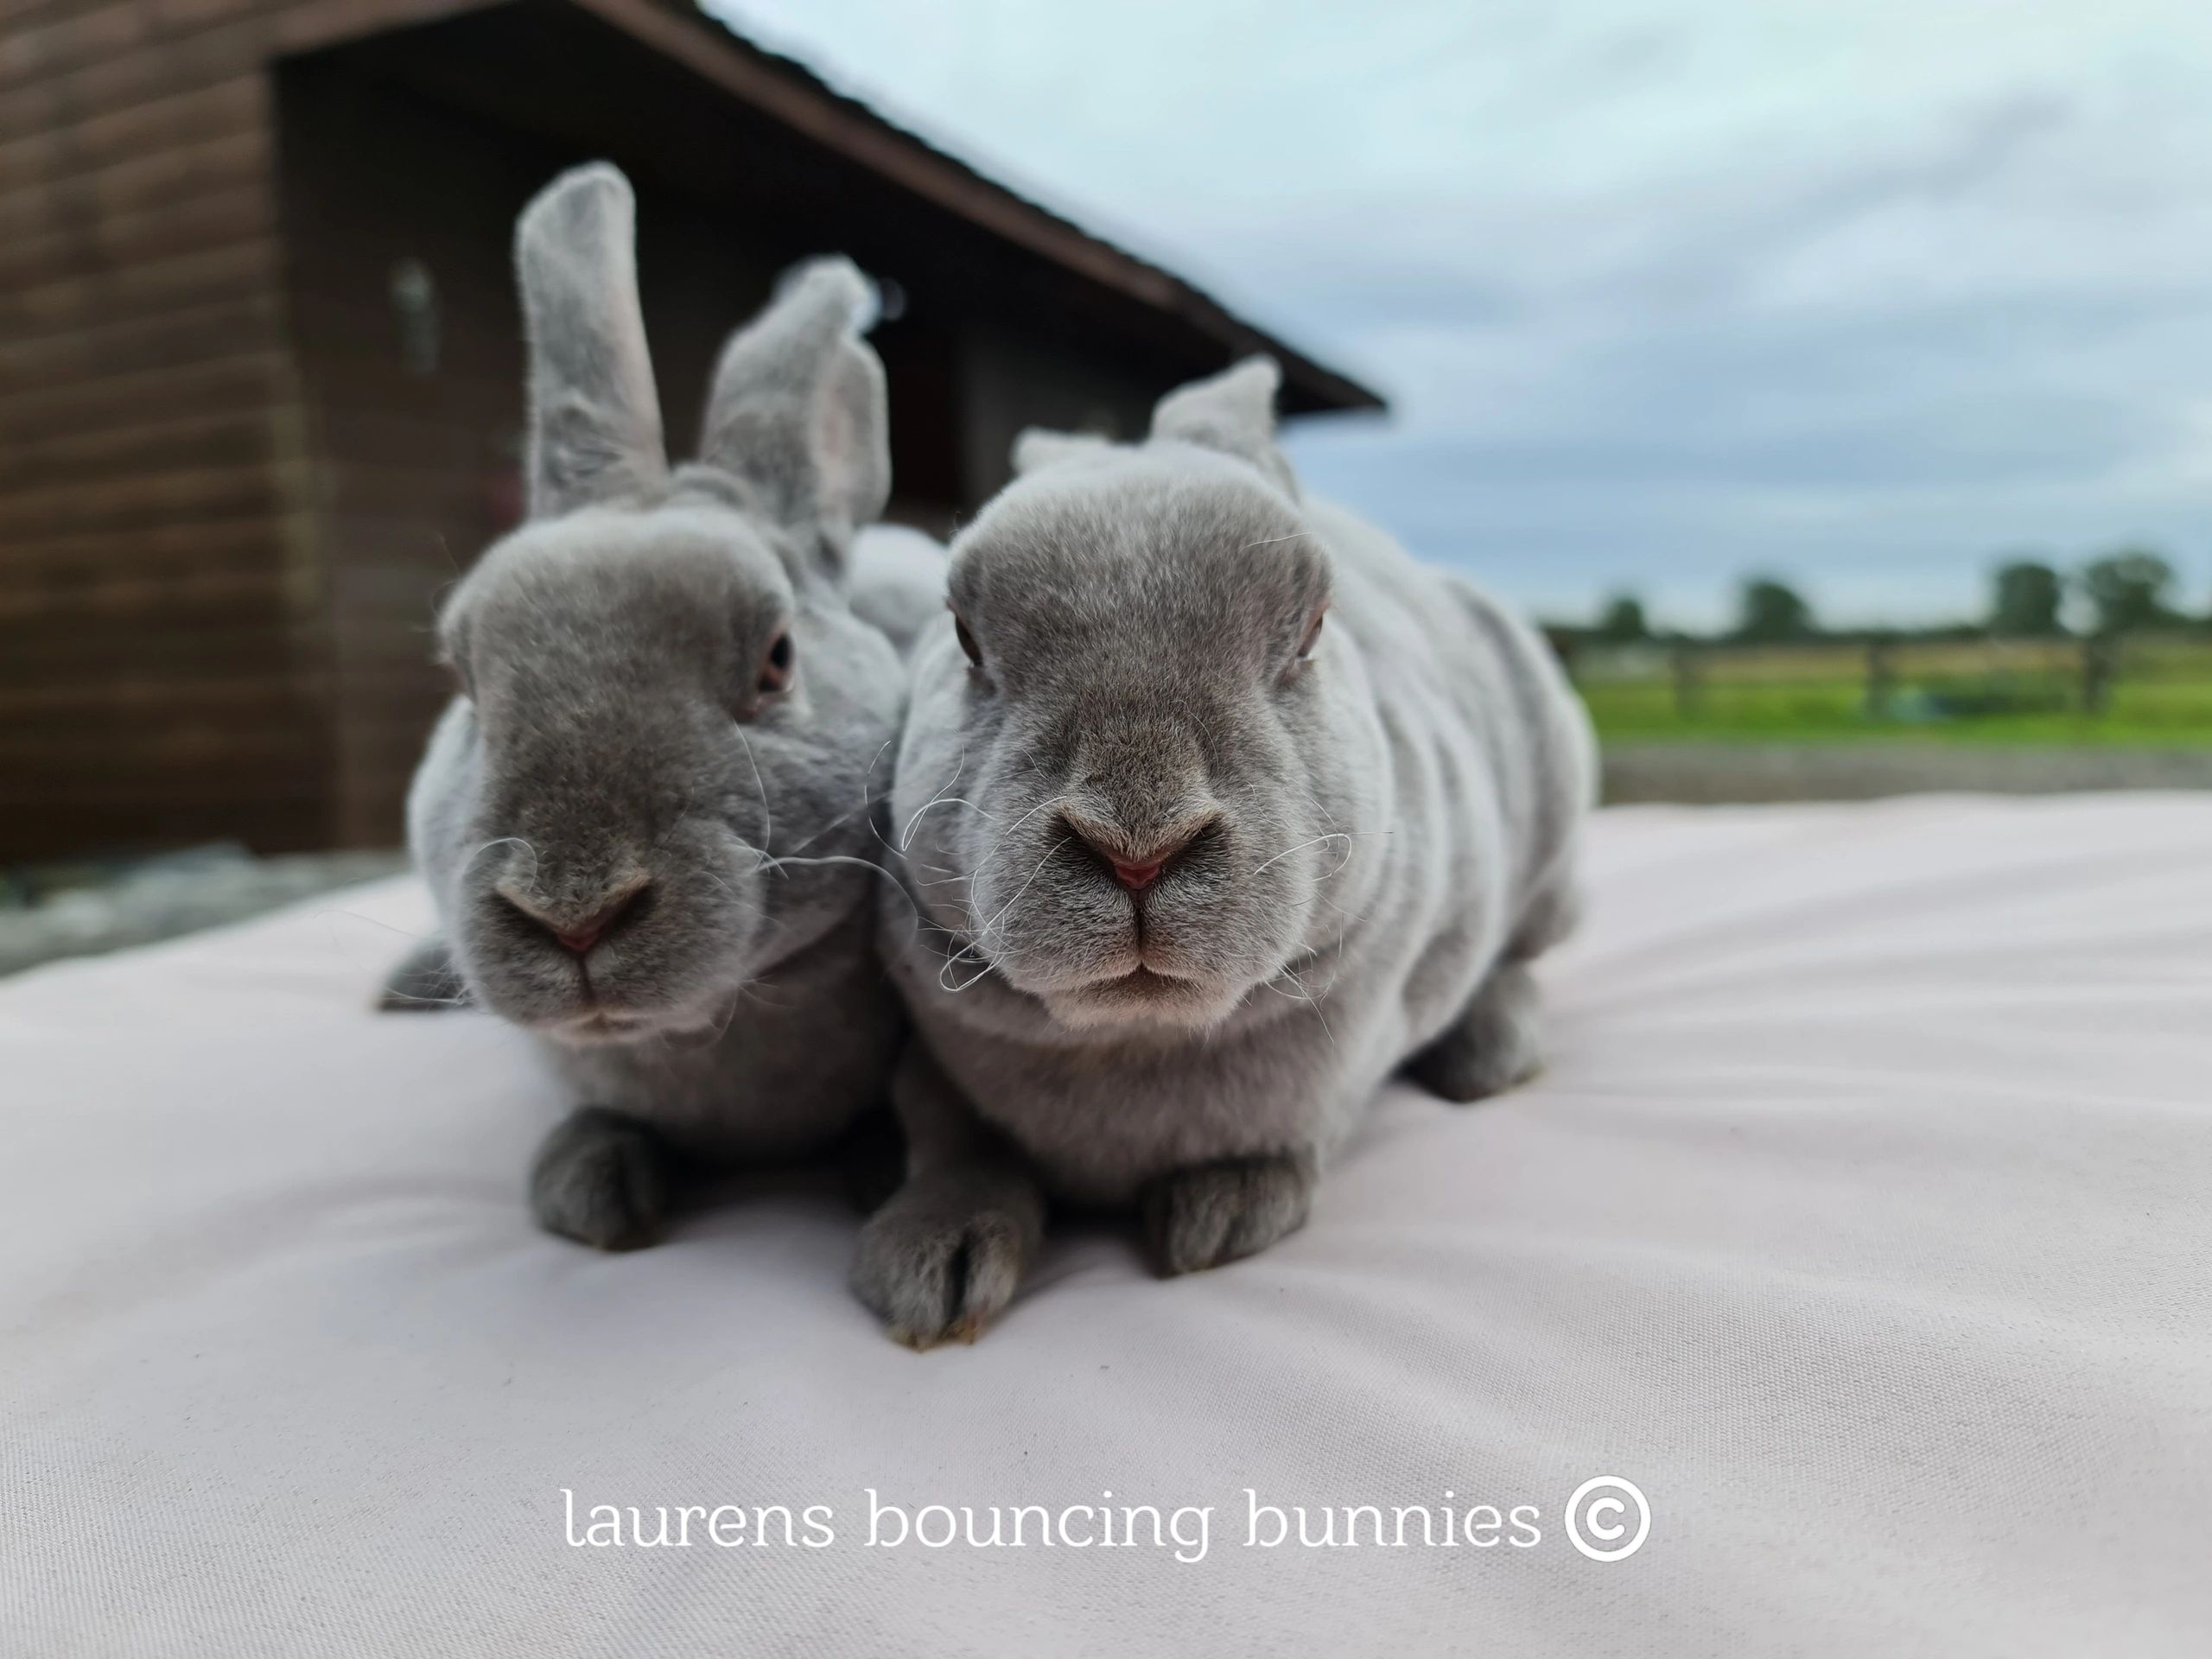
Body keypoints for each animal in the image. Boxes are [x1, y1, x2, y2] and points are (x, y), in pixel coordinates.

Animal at [854, 356, 1595, 1344]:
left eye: (1312, 627)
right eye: (965, 638)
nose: (1137, 850)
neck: (1136, 1038)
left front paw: (1224, 1207)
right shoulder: (925, 1070)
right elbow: (945, 1135)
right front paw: (935, 1259)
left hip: (1548, 861)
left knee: (1522, 955)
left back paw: (1490, 1052)